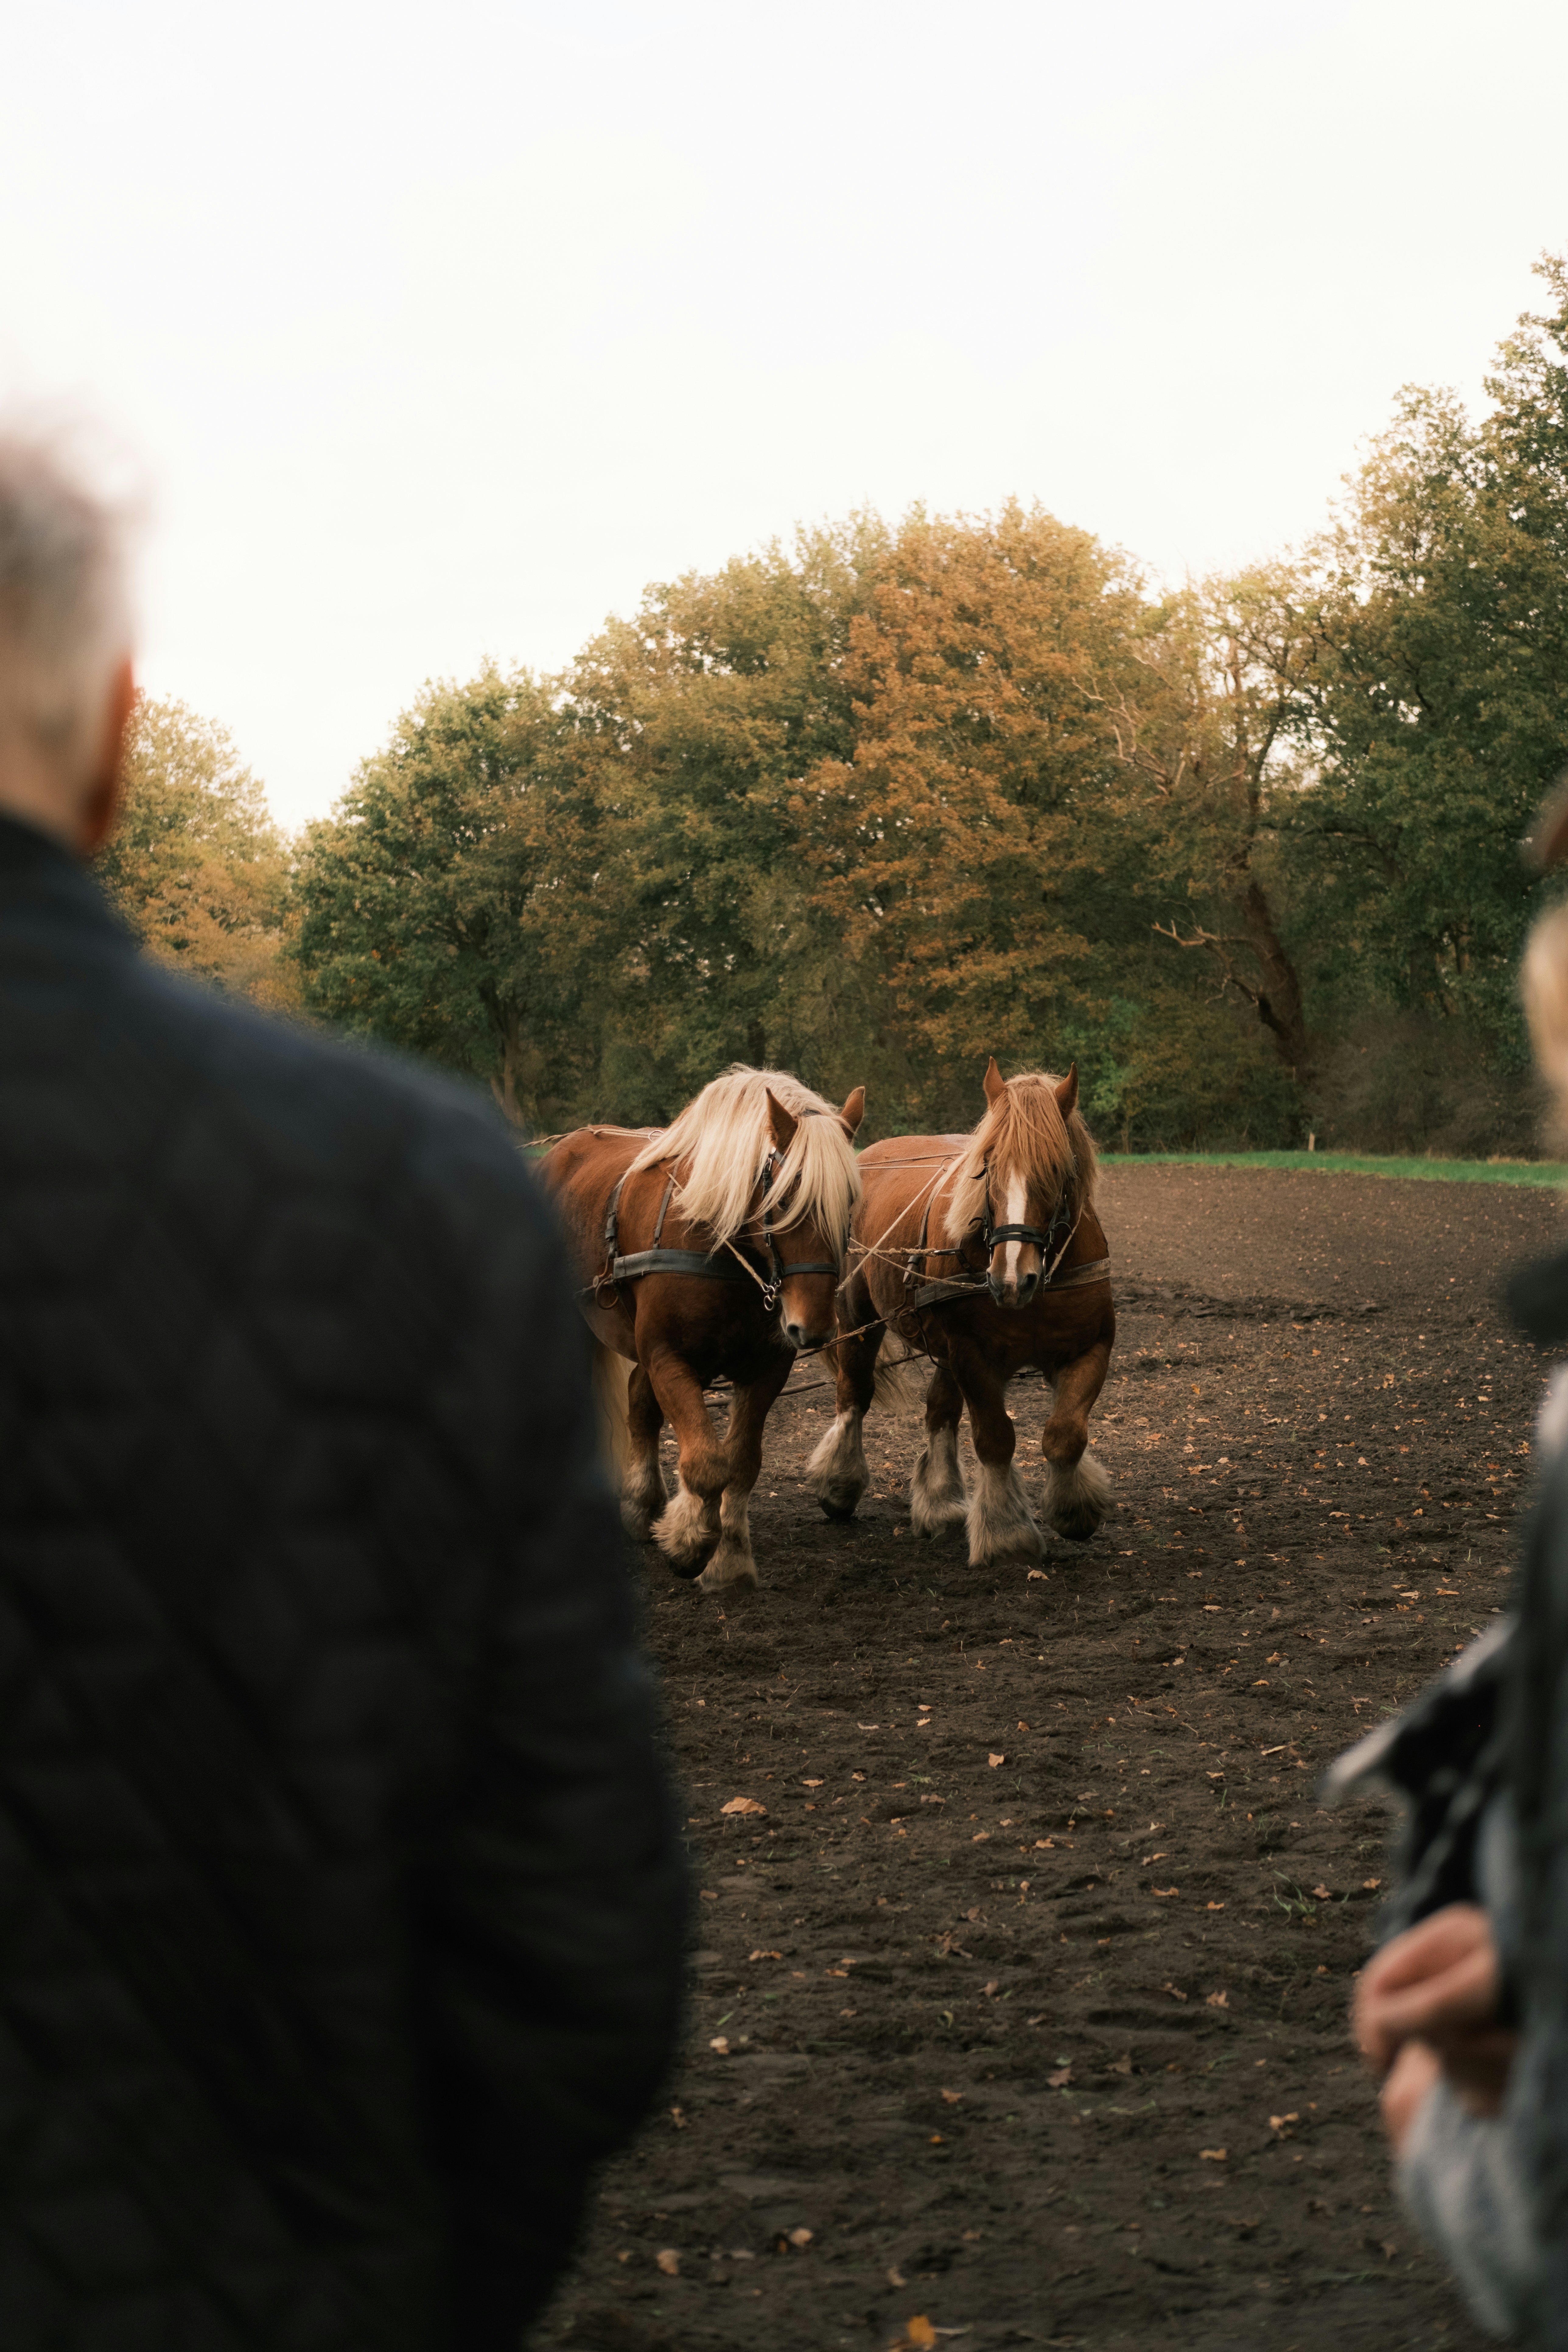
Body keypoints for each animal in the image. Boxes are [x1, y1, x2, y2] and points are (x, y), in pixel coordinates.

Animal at [542, 1066, 864, 1594]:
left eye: (851, 1200)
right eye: (786, 1198)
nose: (813, 1328)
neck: (715, 1238)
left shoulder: (767, 1367)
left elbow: (742, 1463)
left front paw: (729, 1558)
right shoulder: (669, 1358)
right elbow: (707, 1463)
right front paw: (691, 1543)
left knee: (640, 1405)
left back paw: (641, 1503)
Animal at [806, 1057, 1114, 1570]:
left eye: (1056, 1168)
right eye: (986, 1168)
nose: (1011, 1279)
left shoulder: (1089, 1348)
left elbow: (1065, 1433)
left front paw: (1074, 1508)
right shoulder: (973, 1354)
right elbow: (995, 1437)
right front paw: (1007, 1532)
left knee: (940, 1410)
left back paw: (941, 1504)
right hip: (857, 1320)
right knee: (855, 1394)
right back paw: (840, 1484)